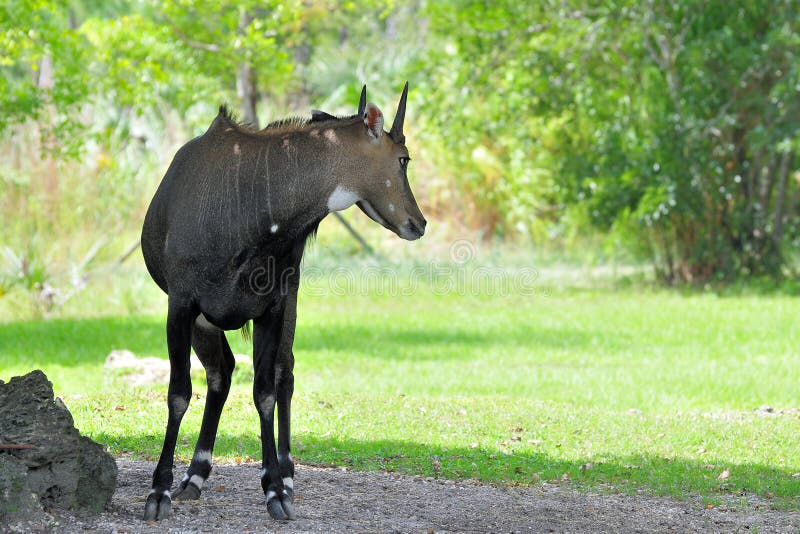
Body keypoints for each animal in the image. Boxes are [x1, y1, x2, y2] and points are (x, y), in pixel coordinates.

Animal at [140, 84, 425, 521]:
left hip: (285, 303)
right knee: (221, 372)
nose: (419, 223)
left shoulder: (271, 308)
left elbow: (266, 392)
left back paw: (282, 476)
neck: (251, 203)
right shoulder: (182, 304)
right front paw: (158, 492)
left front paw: (275, 490)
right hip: (205, 321)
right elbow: (178, 393)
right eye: (403, 158)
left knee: (280, 373)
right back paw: (194, 477)